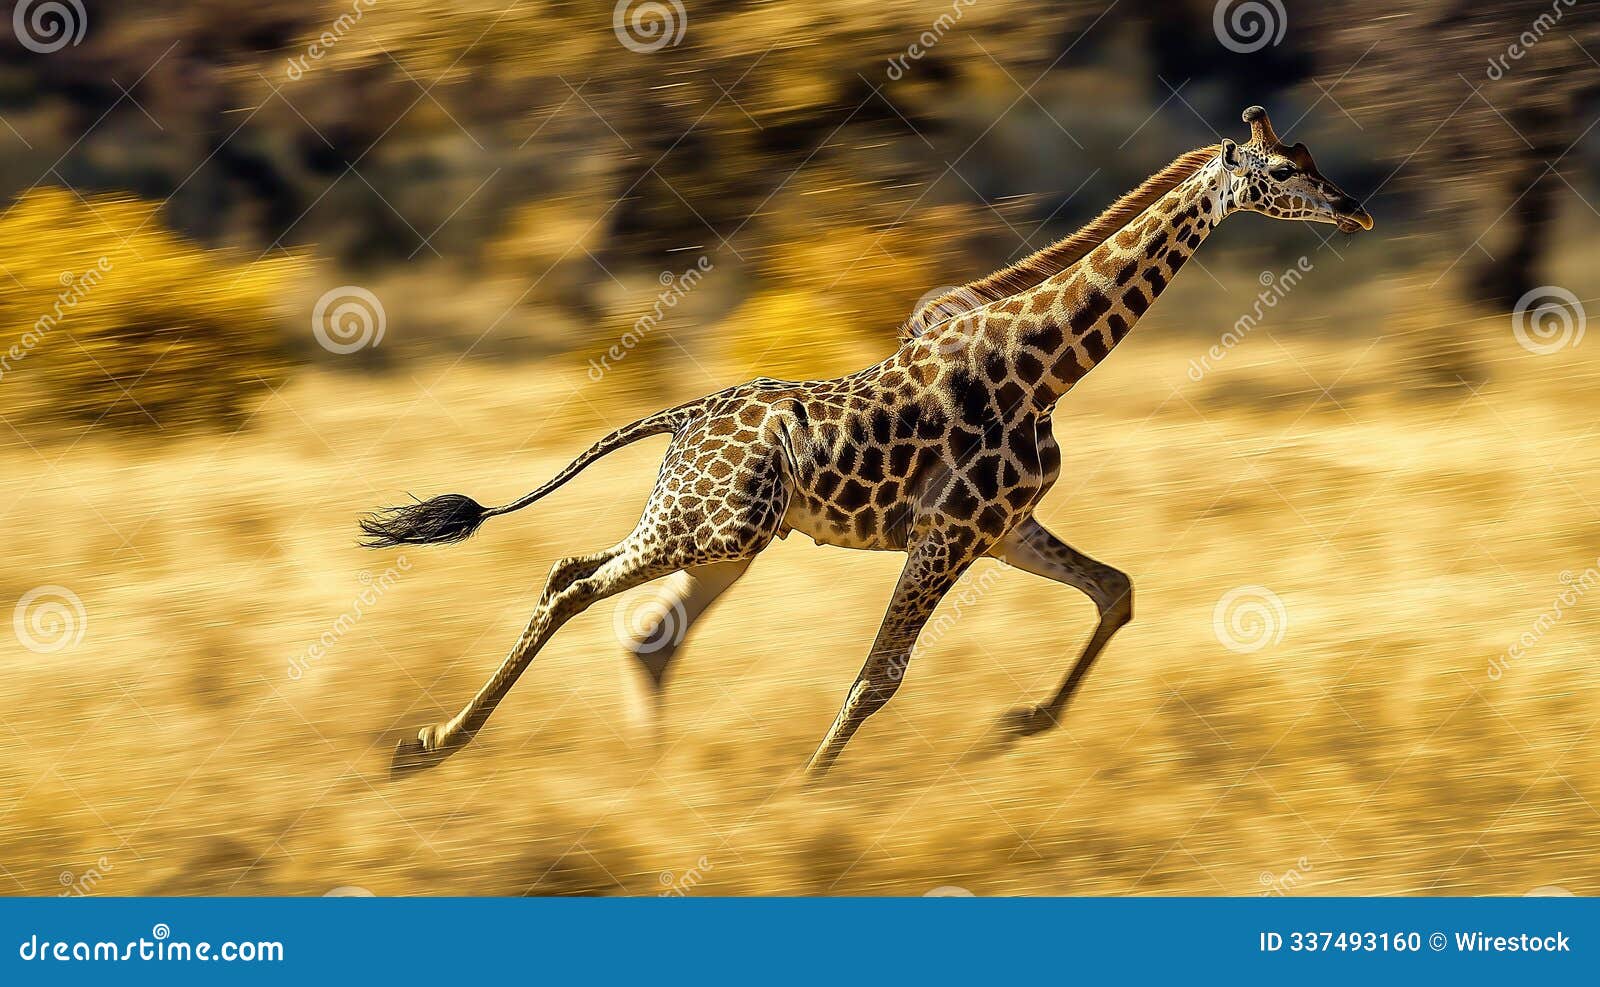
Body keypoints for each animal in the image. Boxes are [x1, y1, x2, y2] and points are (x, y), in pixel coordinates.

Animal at [362, 106, 1372, 780]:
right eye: (1281, 172)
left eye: (1311, 157)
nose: (1356, 210)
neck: (1045, 366)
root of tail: (681, 417)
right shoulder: (950, 533)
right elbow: (880, 675)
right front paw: (804, 792)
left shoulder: (1000, 528)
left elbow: (1115, 591)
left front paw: (1023, 723)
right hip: (708, 526)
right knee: (571, 580)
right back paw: (433, 743)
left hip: (730, 541)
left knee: (645, 634)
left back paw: (648, 779)